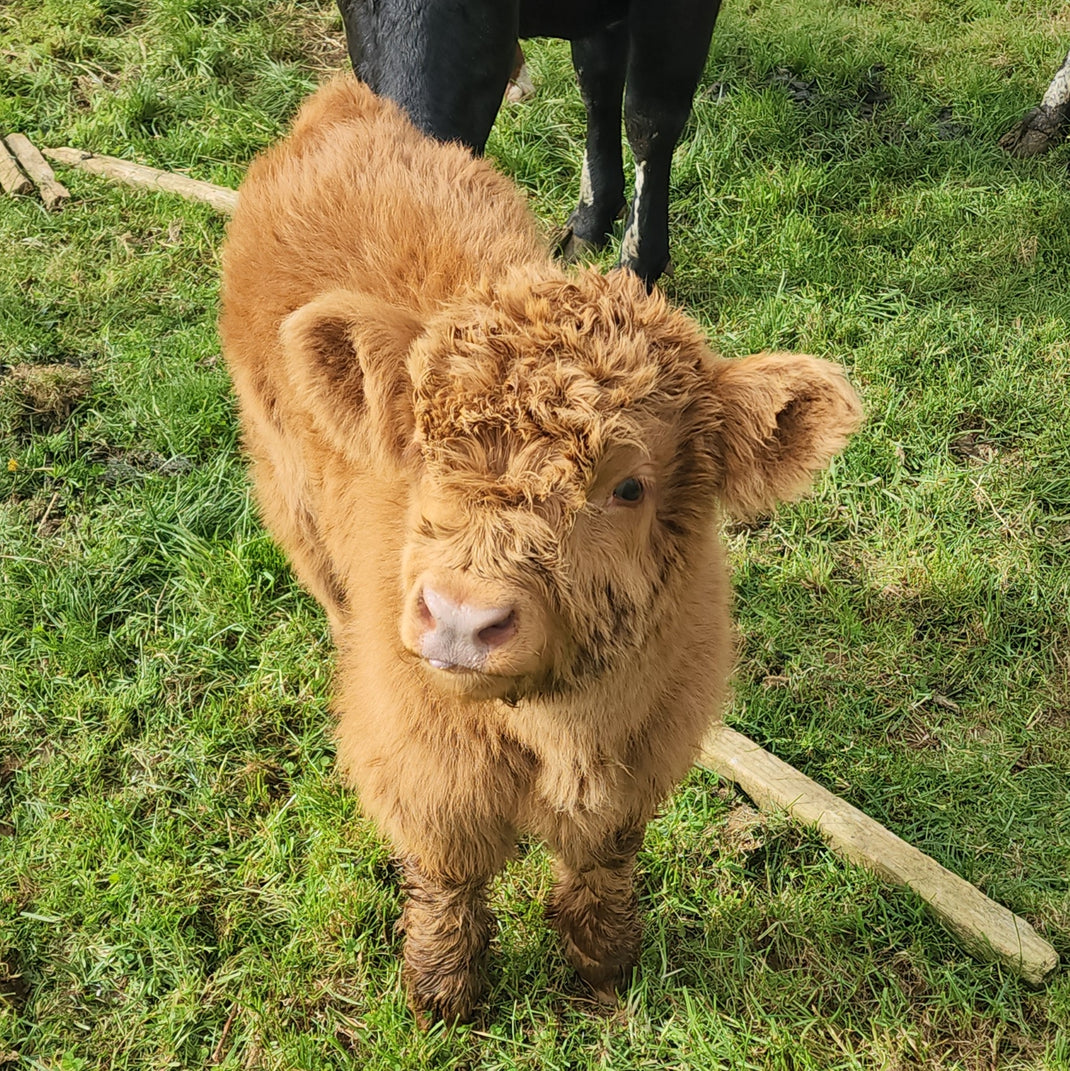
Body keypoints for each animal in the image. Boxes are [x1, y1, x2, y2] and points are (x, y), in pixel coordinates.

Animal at [219, 76, 862, 1025]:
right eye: (429, 451)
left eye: (628, 485)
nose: (462, 617)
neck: (559, 727)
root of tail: (339, 108)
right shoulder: (423, 762)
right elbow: (448, 875)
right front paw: (444, 994)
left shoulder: (645, 748)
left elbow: (603, 861)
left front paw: (605, 967)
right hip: (288, 497)